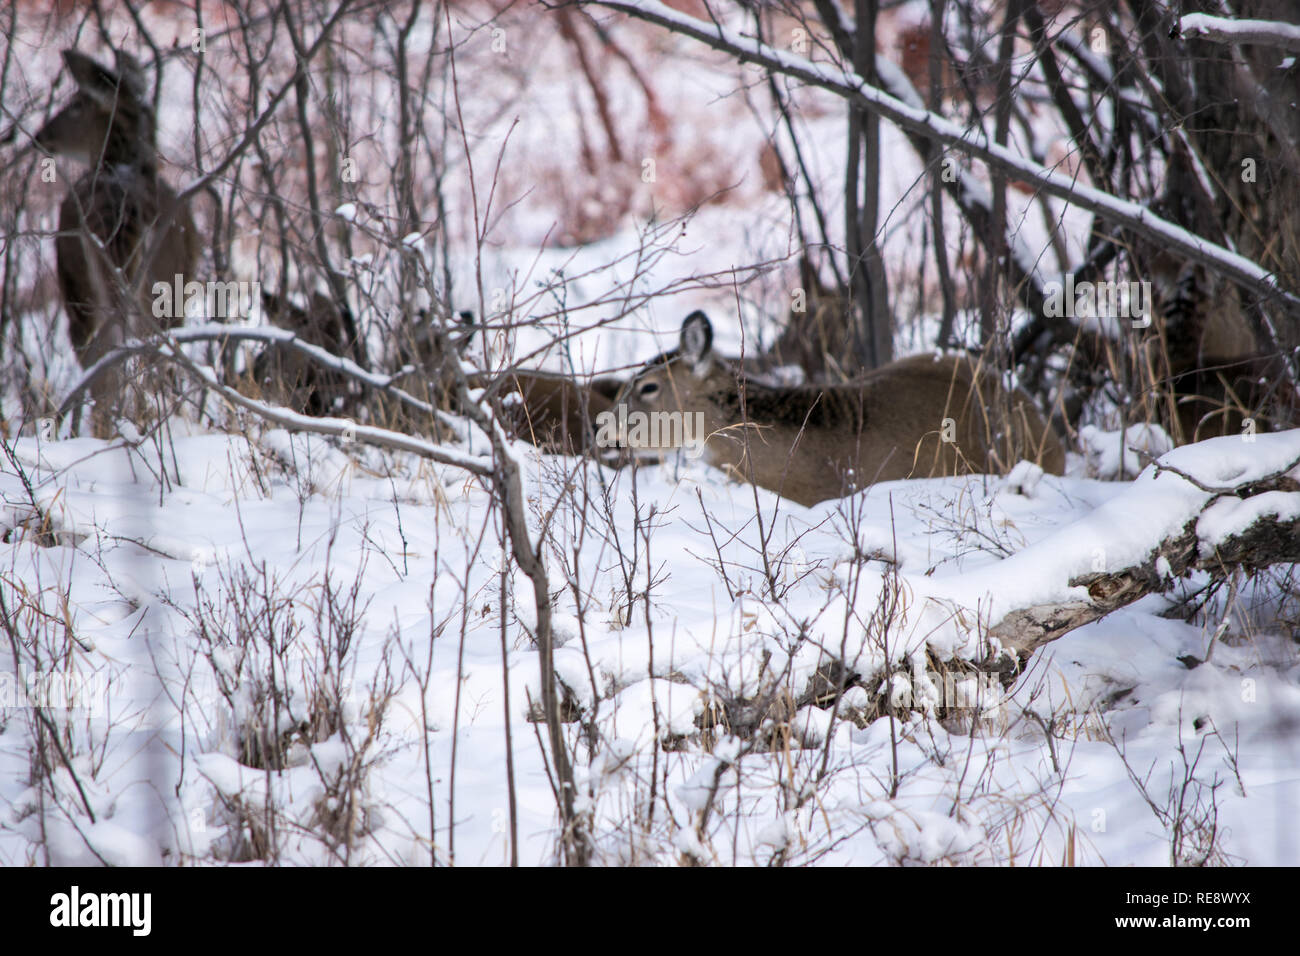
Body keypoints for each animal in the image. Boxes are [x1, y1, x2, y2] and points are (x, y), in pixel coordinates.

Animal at [34, 48, 200, 428]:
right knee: (142, 363)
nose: (40, 135)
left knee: (105, 367)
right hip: (162, 290)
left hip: (83, 292)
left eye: (77, 104)